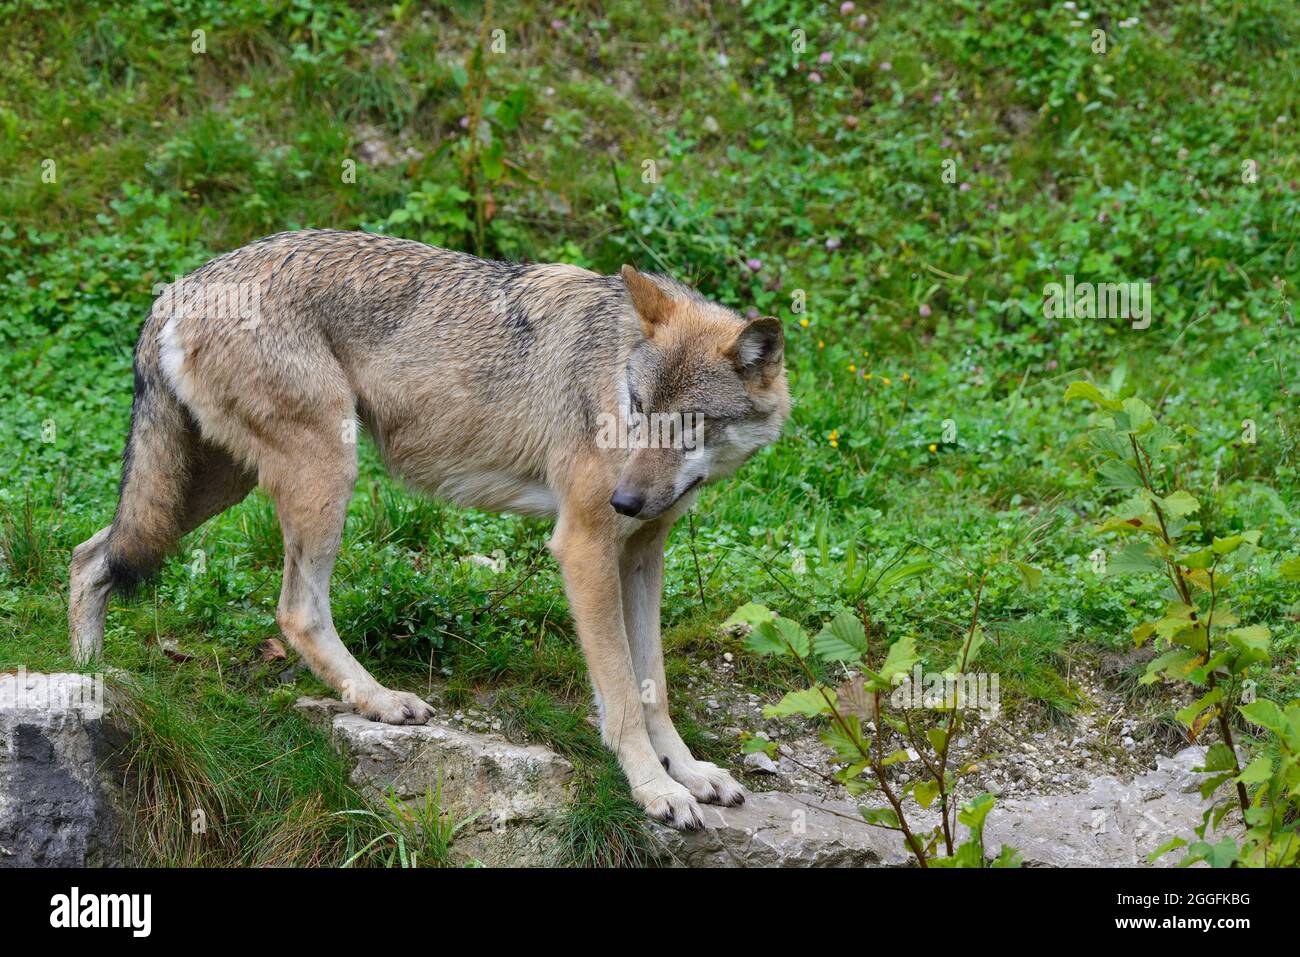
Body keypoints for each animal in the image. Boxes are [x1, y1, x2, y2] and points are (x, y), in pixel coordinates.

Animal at [67, 230, 790, 828]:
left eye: (690, 424)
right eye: (637, 410)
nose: (625, 499)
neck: (610, 366)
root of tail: (183, 284)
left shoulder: (643, 554)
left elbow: (654, 685)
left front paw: (690, 772)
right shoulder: (585, 545)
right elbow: (621, 694)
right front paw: (655, 789)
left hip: (214, 487)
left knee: (89, 555)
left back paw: (89, 680)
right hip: (325, 471)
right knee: (297, 610)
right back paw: (380, 701)